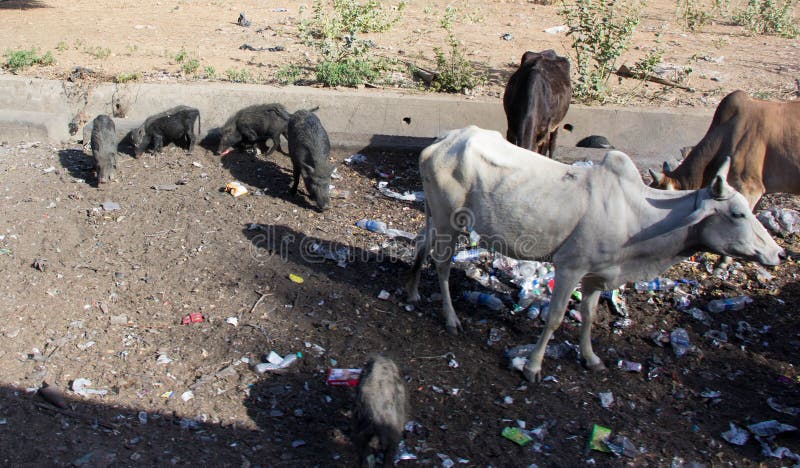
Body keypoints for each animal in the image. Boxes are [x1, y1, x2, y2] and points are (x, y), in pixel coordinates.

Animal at [406, 126, 782, 382]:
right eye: (737, 213)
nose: (778, 253)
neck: (637, 215)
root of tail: (441, 143)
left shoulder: (596, 276)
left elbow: (588, 316)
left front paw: (591, 358)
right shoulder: (570, 267)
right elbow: (555, 317)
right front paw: (533, 366)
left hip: (435, 216)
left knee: (422, 244)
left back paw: (413, 293)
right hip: (449, 220)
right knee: (442, 265)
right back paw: (451, 317)